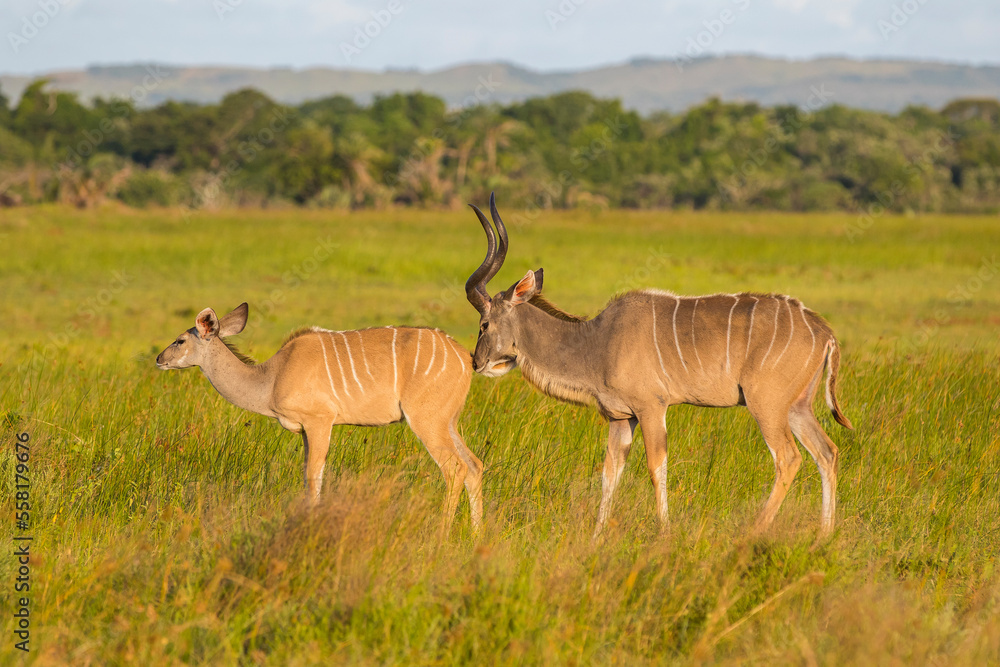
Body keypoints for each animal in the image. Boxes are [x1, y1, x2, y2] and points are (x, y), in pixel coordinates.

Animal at [155, 303, 483, 532]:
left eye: (180, 340)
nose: (159, 359)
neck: (271, 377)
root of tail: (464, 358)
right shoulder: (305, 431)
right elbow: (307, 475)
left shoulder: (320, 421)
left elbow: (315, 476)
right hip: (448, 422)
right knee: (474, 465)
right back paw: (477, 534)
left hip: (427, 421)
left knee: (454, 468)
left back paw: (441, 535)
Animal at [465, 194, 852, 537]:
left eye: (484, 324)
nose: (477, 362)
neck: (597, 341)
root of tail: (823, 330)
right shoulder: (622, 419)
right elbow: (610, 473)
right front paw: (596, 537)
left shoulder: (652, 408)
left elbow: (656, 466)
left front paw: (664, 532)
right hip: (797, 408)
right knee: (827, 452)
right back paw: (825, 534)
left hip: (766, 406)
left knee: (788, 458)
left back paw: (754, 531)